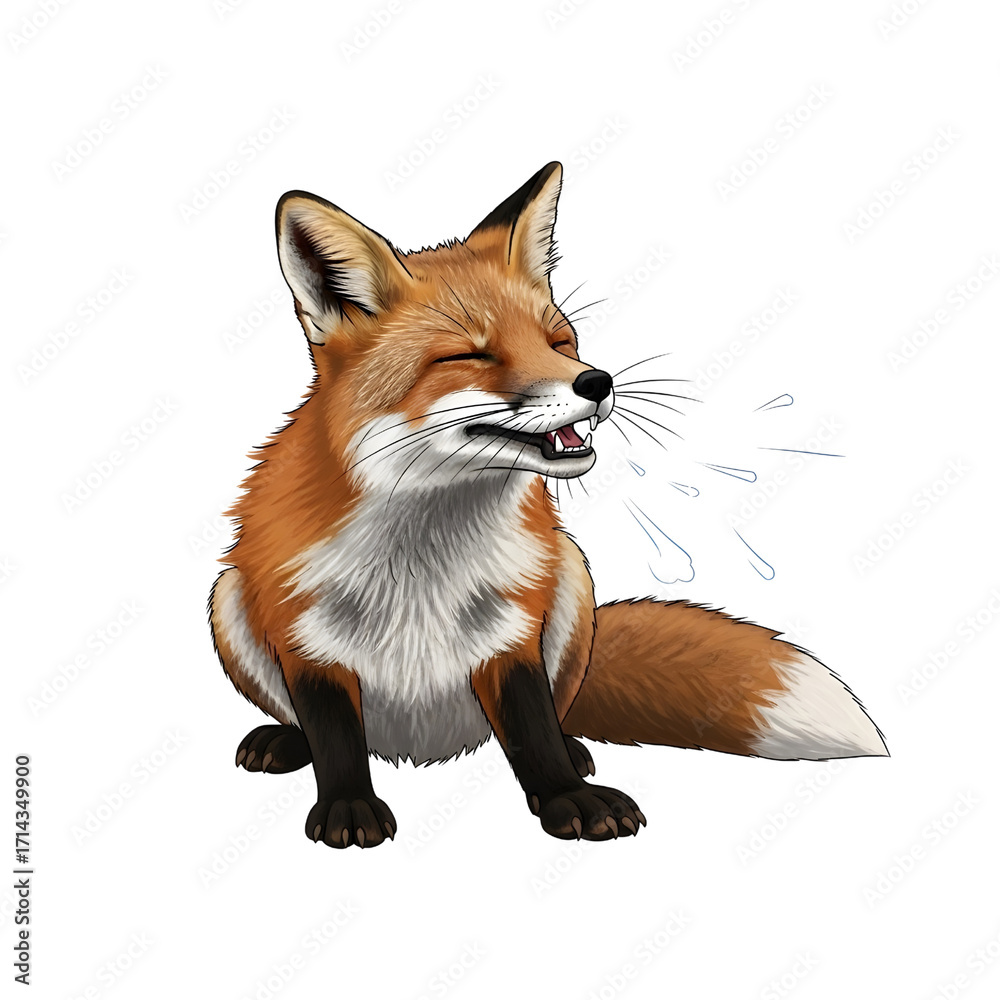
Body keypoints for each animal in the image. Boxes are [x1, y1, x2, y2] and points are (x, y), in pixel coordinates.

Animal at [208, 161, 887, 849]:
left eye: (559, 341)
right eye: (470, 355)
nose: (598, 381)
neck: (421, 555)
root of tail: (422, 749)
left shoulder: (511, 632)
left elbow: (531, 728)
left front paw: (566, 795)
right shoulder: (304, 639)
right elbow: (335, 736)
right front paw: (348, 804)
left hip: (570, 578)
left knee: (550, 717)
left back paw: (577, 752)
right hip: (228, 599)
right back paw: (283, 741)